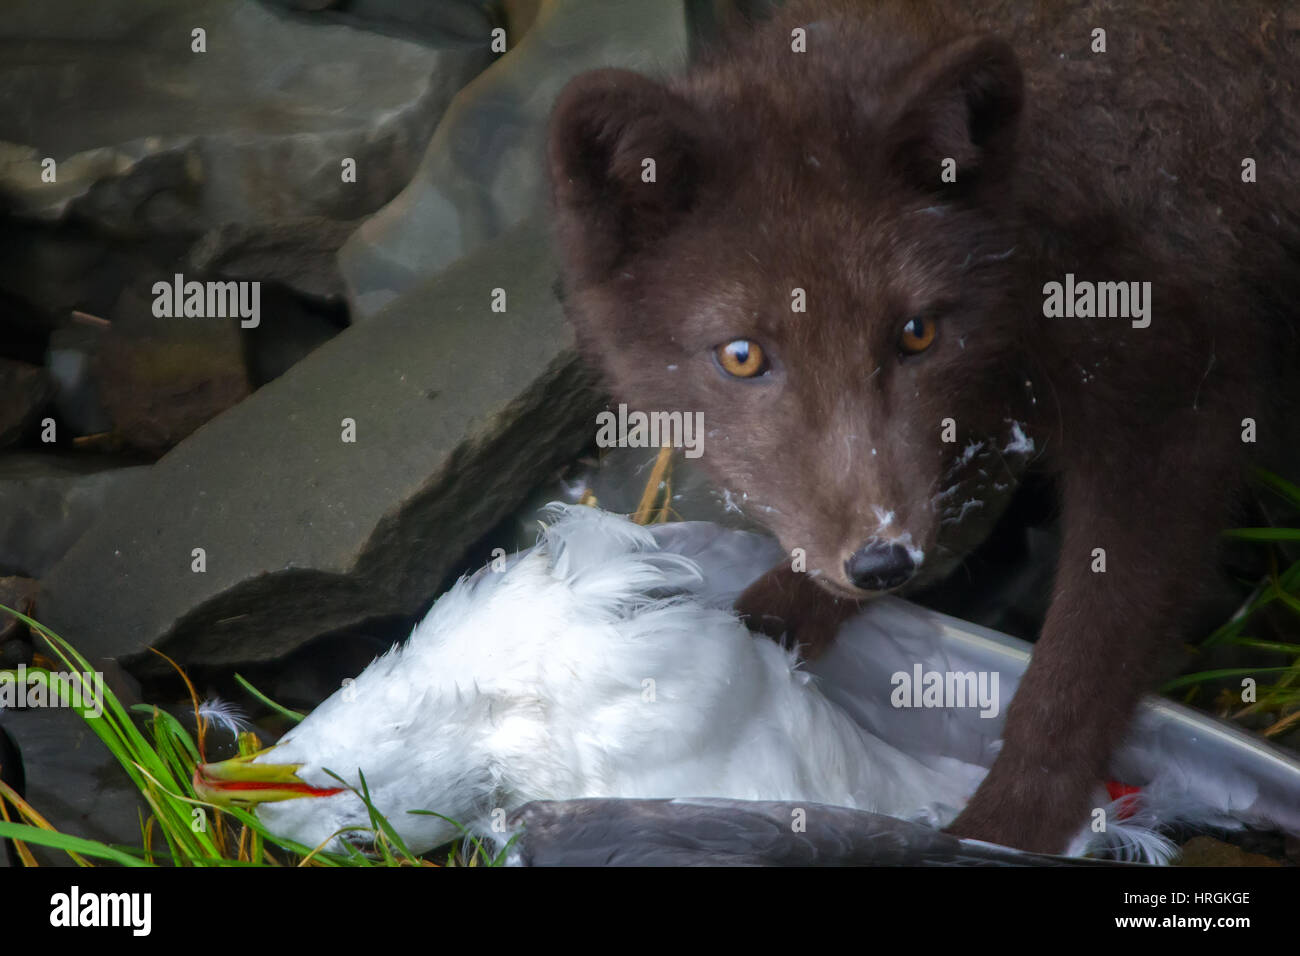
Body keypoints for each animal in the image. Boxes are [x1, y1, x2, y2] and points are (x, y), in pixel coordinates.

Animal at [545, 0, 1300, 853]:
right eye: (742, 356)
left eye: (917, 333)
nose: (882, 564)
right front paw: (751, 631)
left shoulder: (1174, 416)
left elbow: (1073, 674)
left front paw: (999, 834)